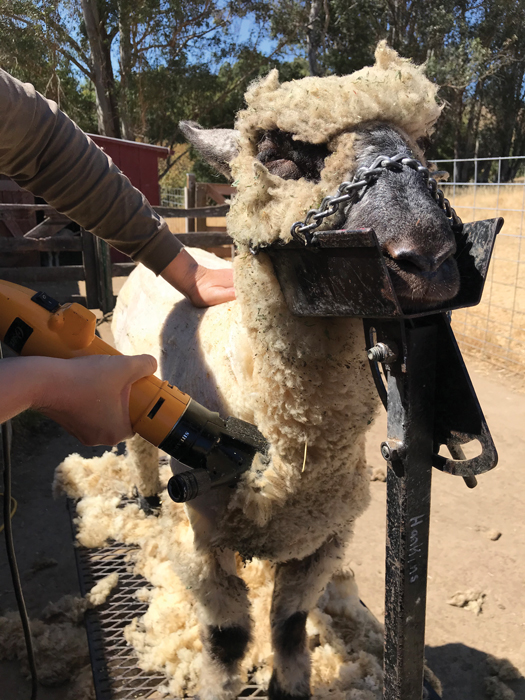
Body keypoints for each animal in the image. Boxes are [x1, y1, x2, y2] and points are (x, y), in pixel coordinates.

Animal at [112, 42, 459, 700]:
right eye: (278, 155)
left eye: (423, 145)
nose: (430, 259)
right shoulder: (202, 541)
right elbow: (227, 639)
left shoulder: (321, 539)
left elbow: (290, 625)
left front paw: (289, 682)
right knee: (139, 449)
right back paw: (143, 498)